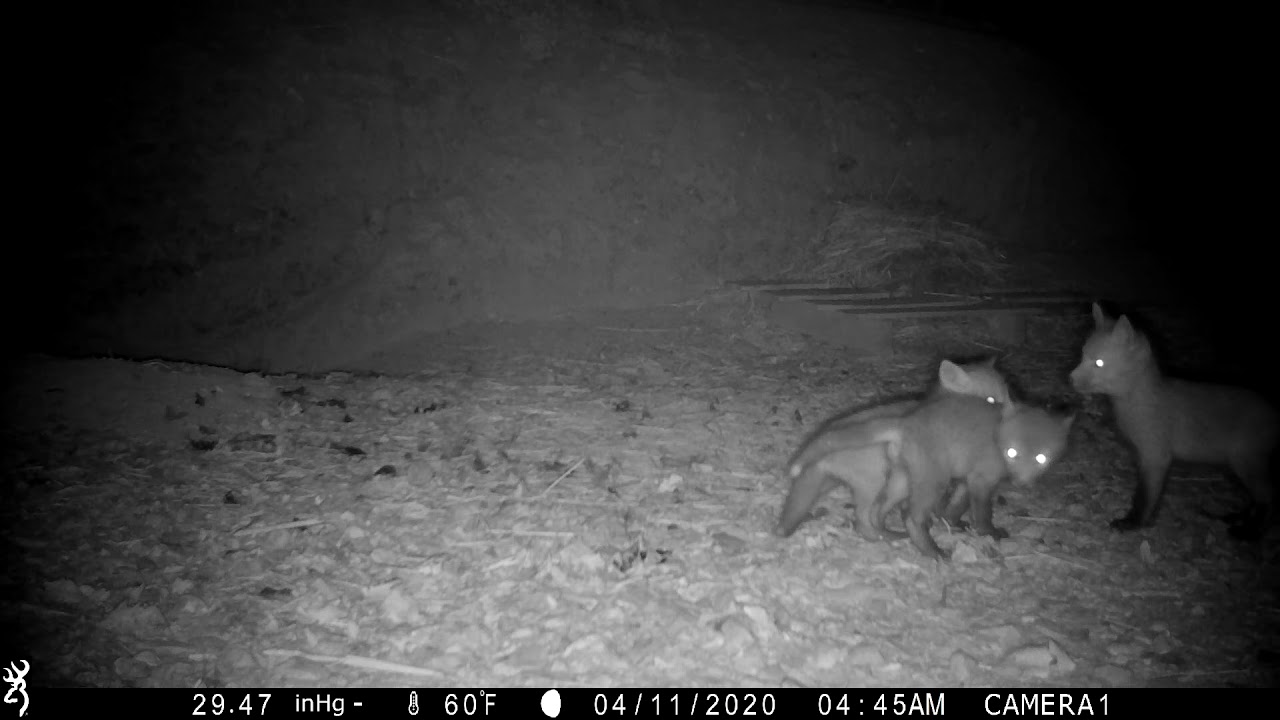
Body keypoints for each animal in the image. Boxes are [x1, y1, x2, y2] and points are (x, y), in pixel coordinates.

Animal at [775, 357, 1009, 540]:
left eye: (1008, 395)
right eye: (990, 400)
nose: (1011, 413)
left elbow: (953, 508)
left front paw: (952, 523)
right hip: (877, 482)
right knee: (864, 519)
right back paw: (885, 536)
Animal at [796, 393, 1075, 560]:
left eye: (1041, 458)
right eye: (1012, 452)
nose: (1021, 482)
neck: (997, 437)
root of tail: (906, 421)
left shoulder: (966, 478)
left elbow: (956, 507)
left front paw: (954, 523)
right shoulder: (981, 480)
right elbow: (982, 513)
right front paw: (989, 533)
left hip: (903, 481)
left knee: (877, 510)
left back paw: (889, 535)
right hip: (933, 482)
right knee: (911, 517)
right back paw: (933, 551)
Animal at [1069, 302, 1280, 539]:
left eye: (1099, 362)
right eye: (1082, 355)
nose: (1070, 378)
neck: (1141, 406)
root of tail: (1274, 412)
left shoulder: (1156, 456)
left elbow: (1145, 497)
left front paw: (1132, 523)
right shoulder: (1141, 455)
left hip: (1247, 462)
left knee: (1268, 499)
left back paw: (1249, 533)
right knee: (1257, 500)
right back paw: (1236, 519)